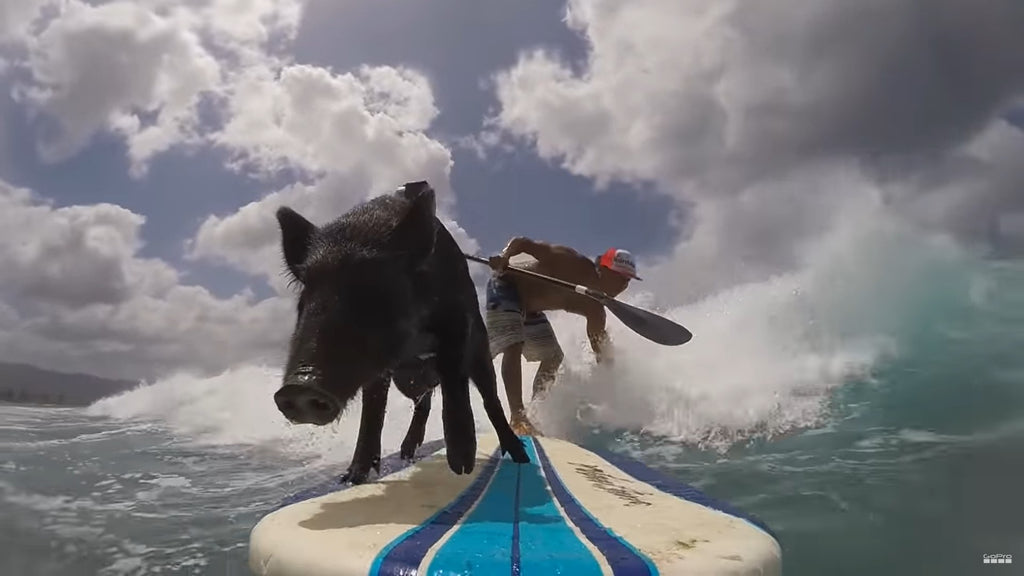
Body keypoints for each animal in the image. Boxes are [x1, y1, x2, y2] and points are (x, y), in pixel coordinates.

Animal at [272, 180, 530, 484]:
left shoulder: (457, 318)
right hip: (406, 381)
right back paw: (406, 453)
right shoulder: (379, 371)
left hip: (481, 351)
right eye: (305, 294)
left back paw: (520, 456)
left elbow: (454, 375)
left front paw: (462, 465)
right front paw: (351, 478)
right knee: (423, 400)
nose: (298, 387)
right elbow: (372, 409)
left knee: (490, 397)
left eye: (374, 283)